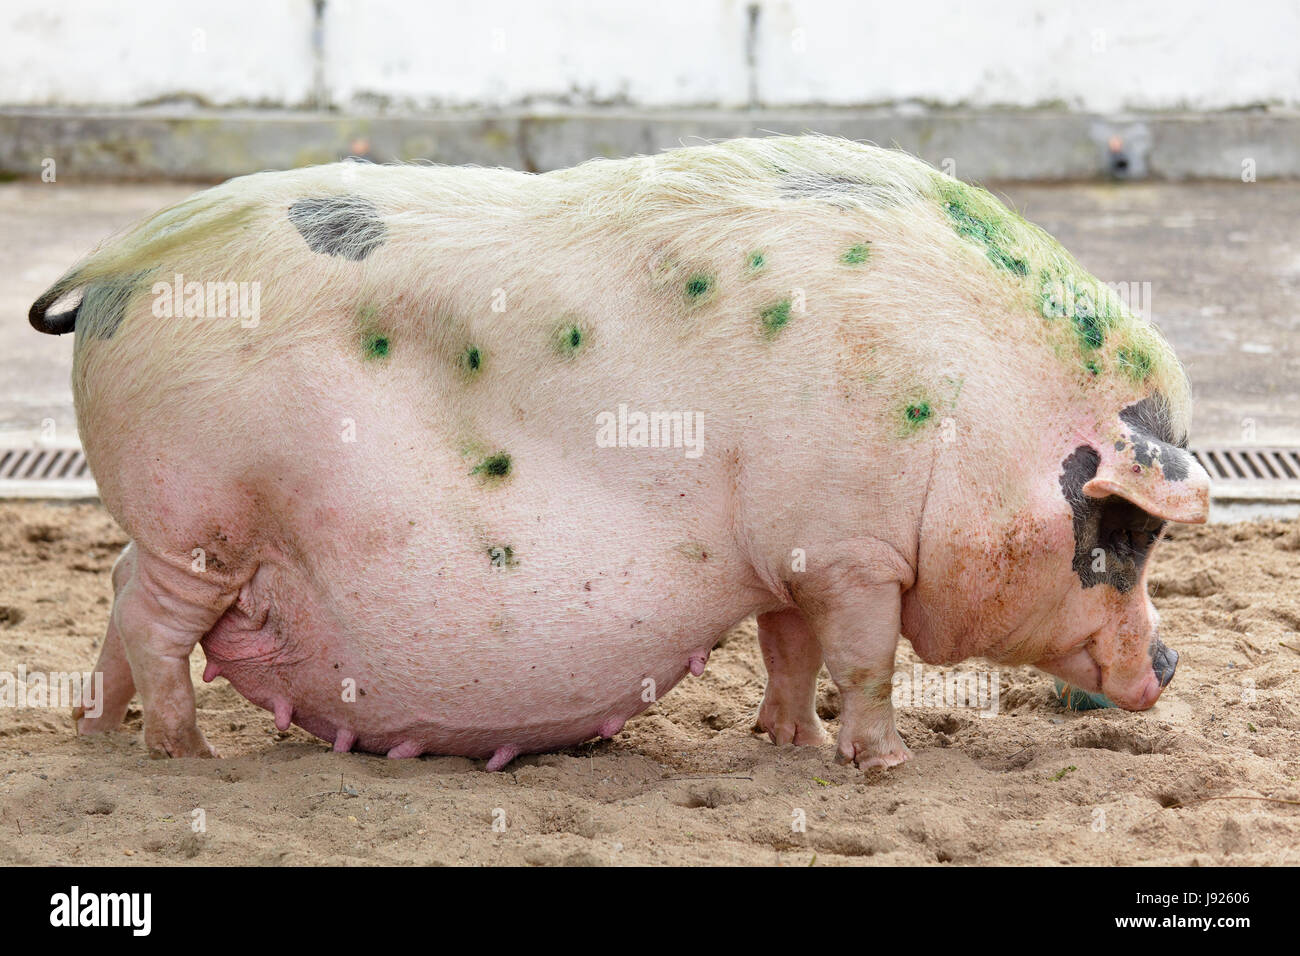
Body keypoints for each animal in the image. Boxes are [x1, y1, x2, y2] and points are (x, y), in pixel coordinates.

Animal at [29, 135, 1210, 770]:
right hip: (204, 519)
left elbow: (789, 650)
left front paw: (782, 744)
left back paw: (99, 730)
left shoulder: (789, 551)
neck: (974, 417)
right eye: (1122, 534)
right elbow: (865, 661)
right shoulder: (852, 550)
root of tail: (115, 266)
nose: (1167, 665)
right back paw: (189, 756)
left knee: (120, 595)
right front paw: (883, 764)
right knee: (154, 621)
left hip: (178, 530)